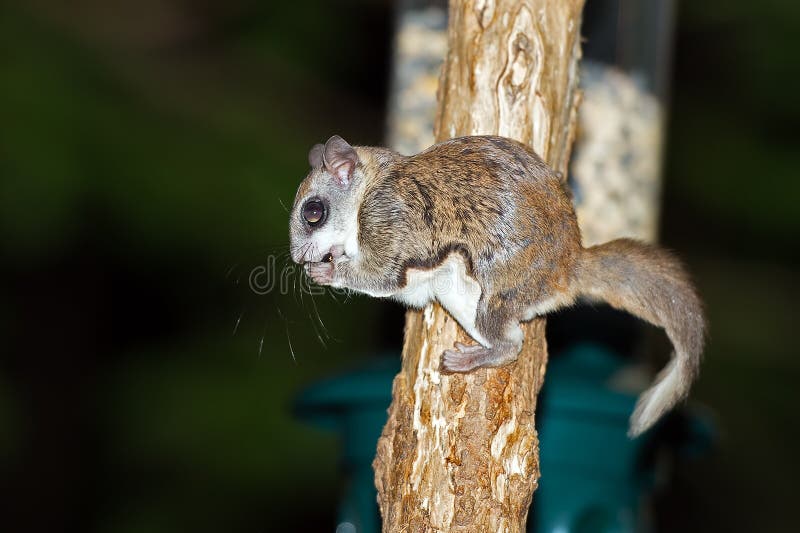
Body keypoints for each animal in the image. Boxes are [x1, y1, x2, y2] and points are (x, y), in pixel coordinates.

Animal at [289, 135, 705, 436]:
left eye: (314, 212)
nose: (297, 259)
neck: (369, 189)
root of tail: (569, 267)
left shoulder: (390, 221)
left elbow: (381, 274)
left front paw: (327, 273)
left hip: (495, 296)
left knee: (511, 345)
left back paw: (473, 358)